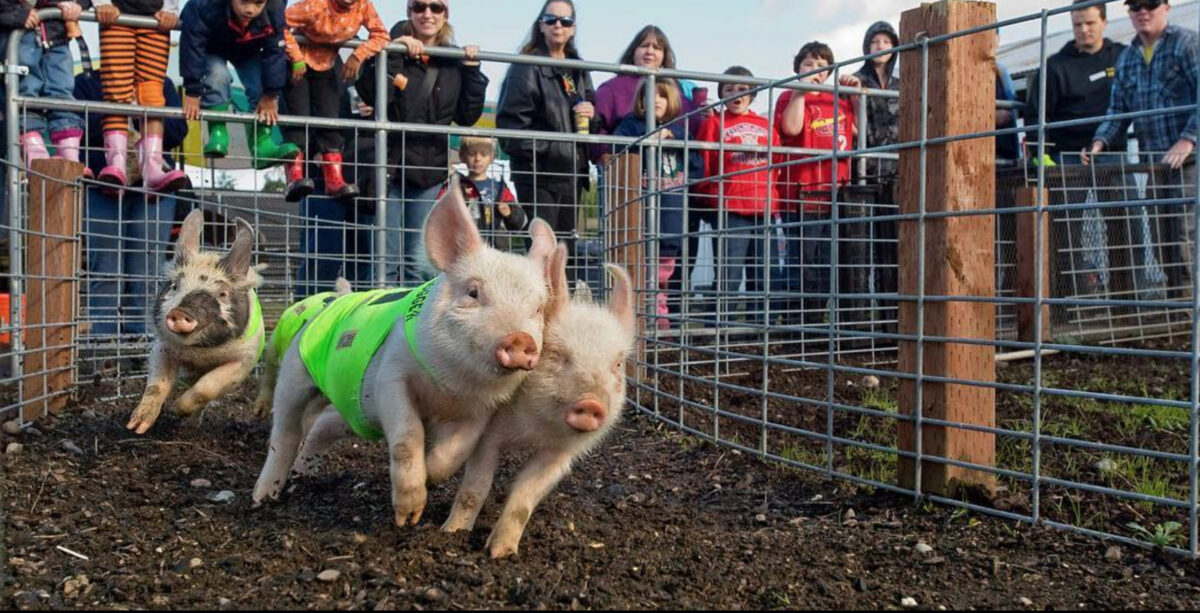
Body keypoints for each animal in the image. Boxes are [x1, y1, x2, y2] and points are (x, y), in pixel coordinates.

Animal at [125, 209, 265, 435]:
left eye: (222, 293)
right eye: (174, 286)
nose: (181, 311)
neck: (201, 354)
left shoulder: (244, 361)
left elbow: (207, 386)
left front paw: (178, 408)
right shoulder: (162, 348)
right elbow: (157, 385)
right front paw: (136, 426)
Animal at [252, 177, 561, 528]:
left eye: (538, 308)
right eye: (472, 292)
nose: (521, 339)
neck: (451, 387)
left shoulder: (480, 411)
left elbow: (456, 450)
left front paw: (431, 474)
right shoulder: (389, 375)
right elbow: (407, 433)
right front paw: (408, 517)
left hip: (353, 406)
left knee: (322, 425)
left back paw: (302, 476)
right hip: (295, 373)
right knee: (284, 431)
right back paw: (262, 497)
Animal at [441, 263, 635, 558]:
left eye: (617, 365)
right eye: (557, 354)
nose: (591, 403)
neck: (536, 431)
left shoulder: (559, 456)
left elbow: (524, 499)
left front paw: (500, 553)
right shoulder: (489, 435)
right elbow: (476, 487)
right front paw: (451, 532)